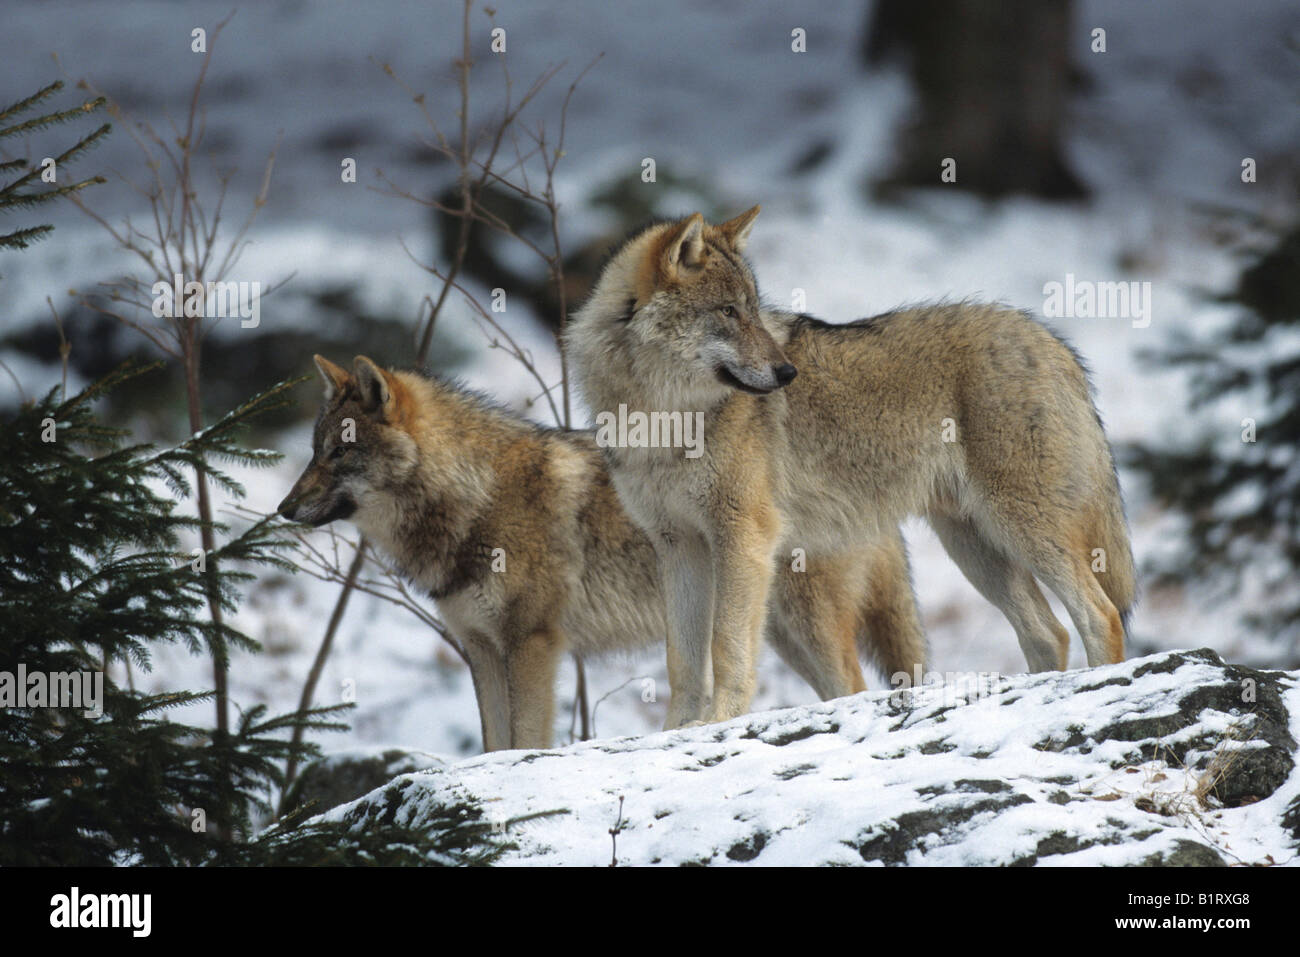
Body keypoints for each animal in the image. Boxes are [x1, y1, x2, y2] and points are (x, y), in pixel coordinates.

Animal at [277, 355, 926, 750]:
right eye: (314, 451)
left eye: (340, 453)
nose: (283, 508)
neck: (472, 499)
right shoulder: (481, 650)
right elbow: (493, 744)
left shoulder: (533, 645)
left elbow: (525, 740)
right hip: (781, 636)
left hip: (806, 628)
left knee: (855, 687)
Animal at [564, 207, 1136, 729]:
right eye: (727, 311)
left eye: (752, 310)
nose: (787, 372)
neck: (662, 418)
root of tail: (1052, 341)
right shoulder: (678, 545)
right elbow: (682, 661)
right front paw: (678, 732)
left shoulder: (743, 537)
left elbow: (727, 647)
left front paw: (719, 722)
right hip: (975, 548)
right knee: (1048, 632)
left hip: (1018, 528)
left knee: (1100, 615)